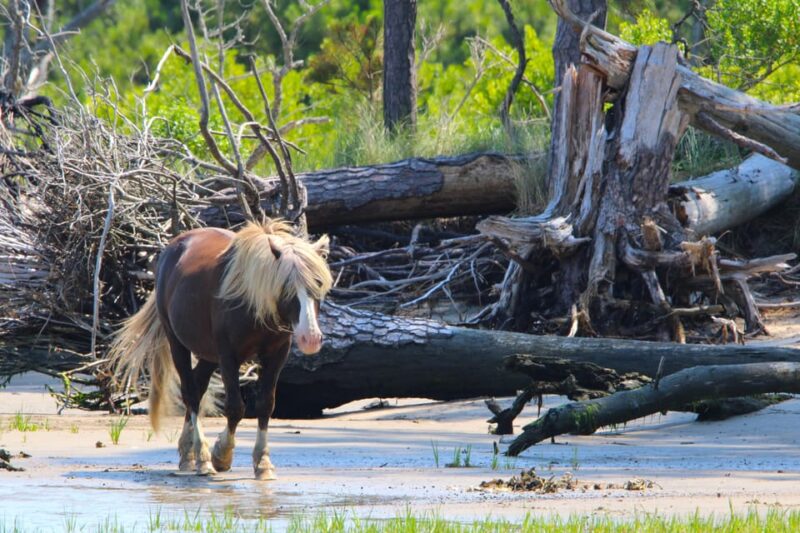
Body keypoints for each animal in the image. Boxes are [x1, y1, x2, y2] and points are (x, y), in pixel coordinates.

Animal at [108, 219, 333, 480]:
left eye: (318, 284)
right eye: (286, 287)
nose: (310, 338)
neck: (252, 300)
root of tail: (173, 248)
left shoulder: (277, 354)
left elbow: (266, 404)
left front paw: (263, 463)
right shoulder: (228, 355)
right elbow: (235, 408)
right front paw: (221, 455)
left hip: (208, 355)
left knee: (198, 386)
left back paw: (187, 453)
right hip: (178, 344)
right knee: (190, 393)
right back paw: (202, 458)